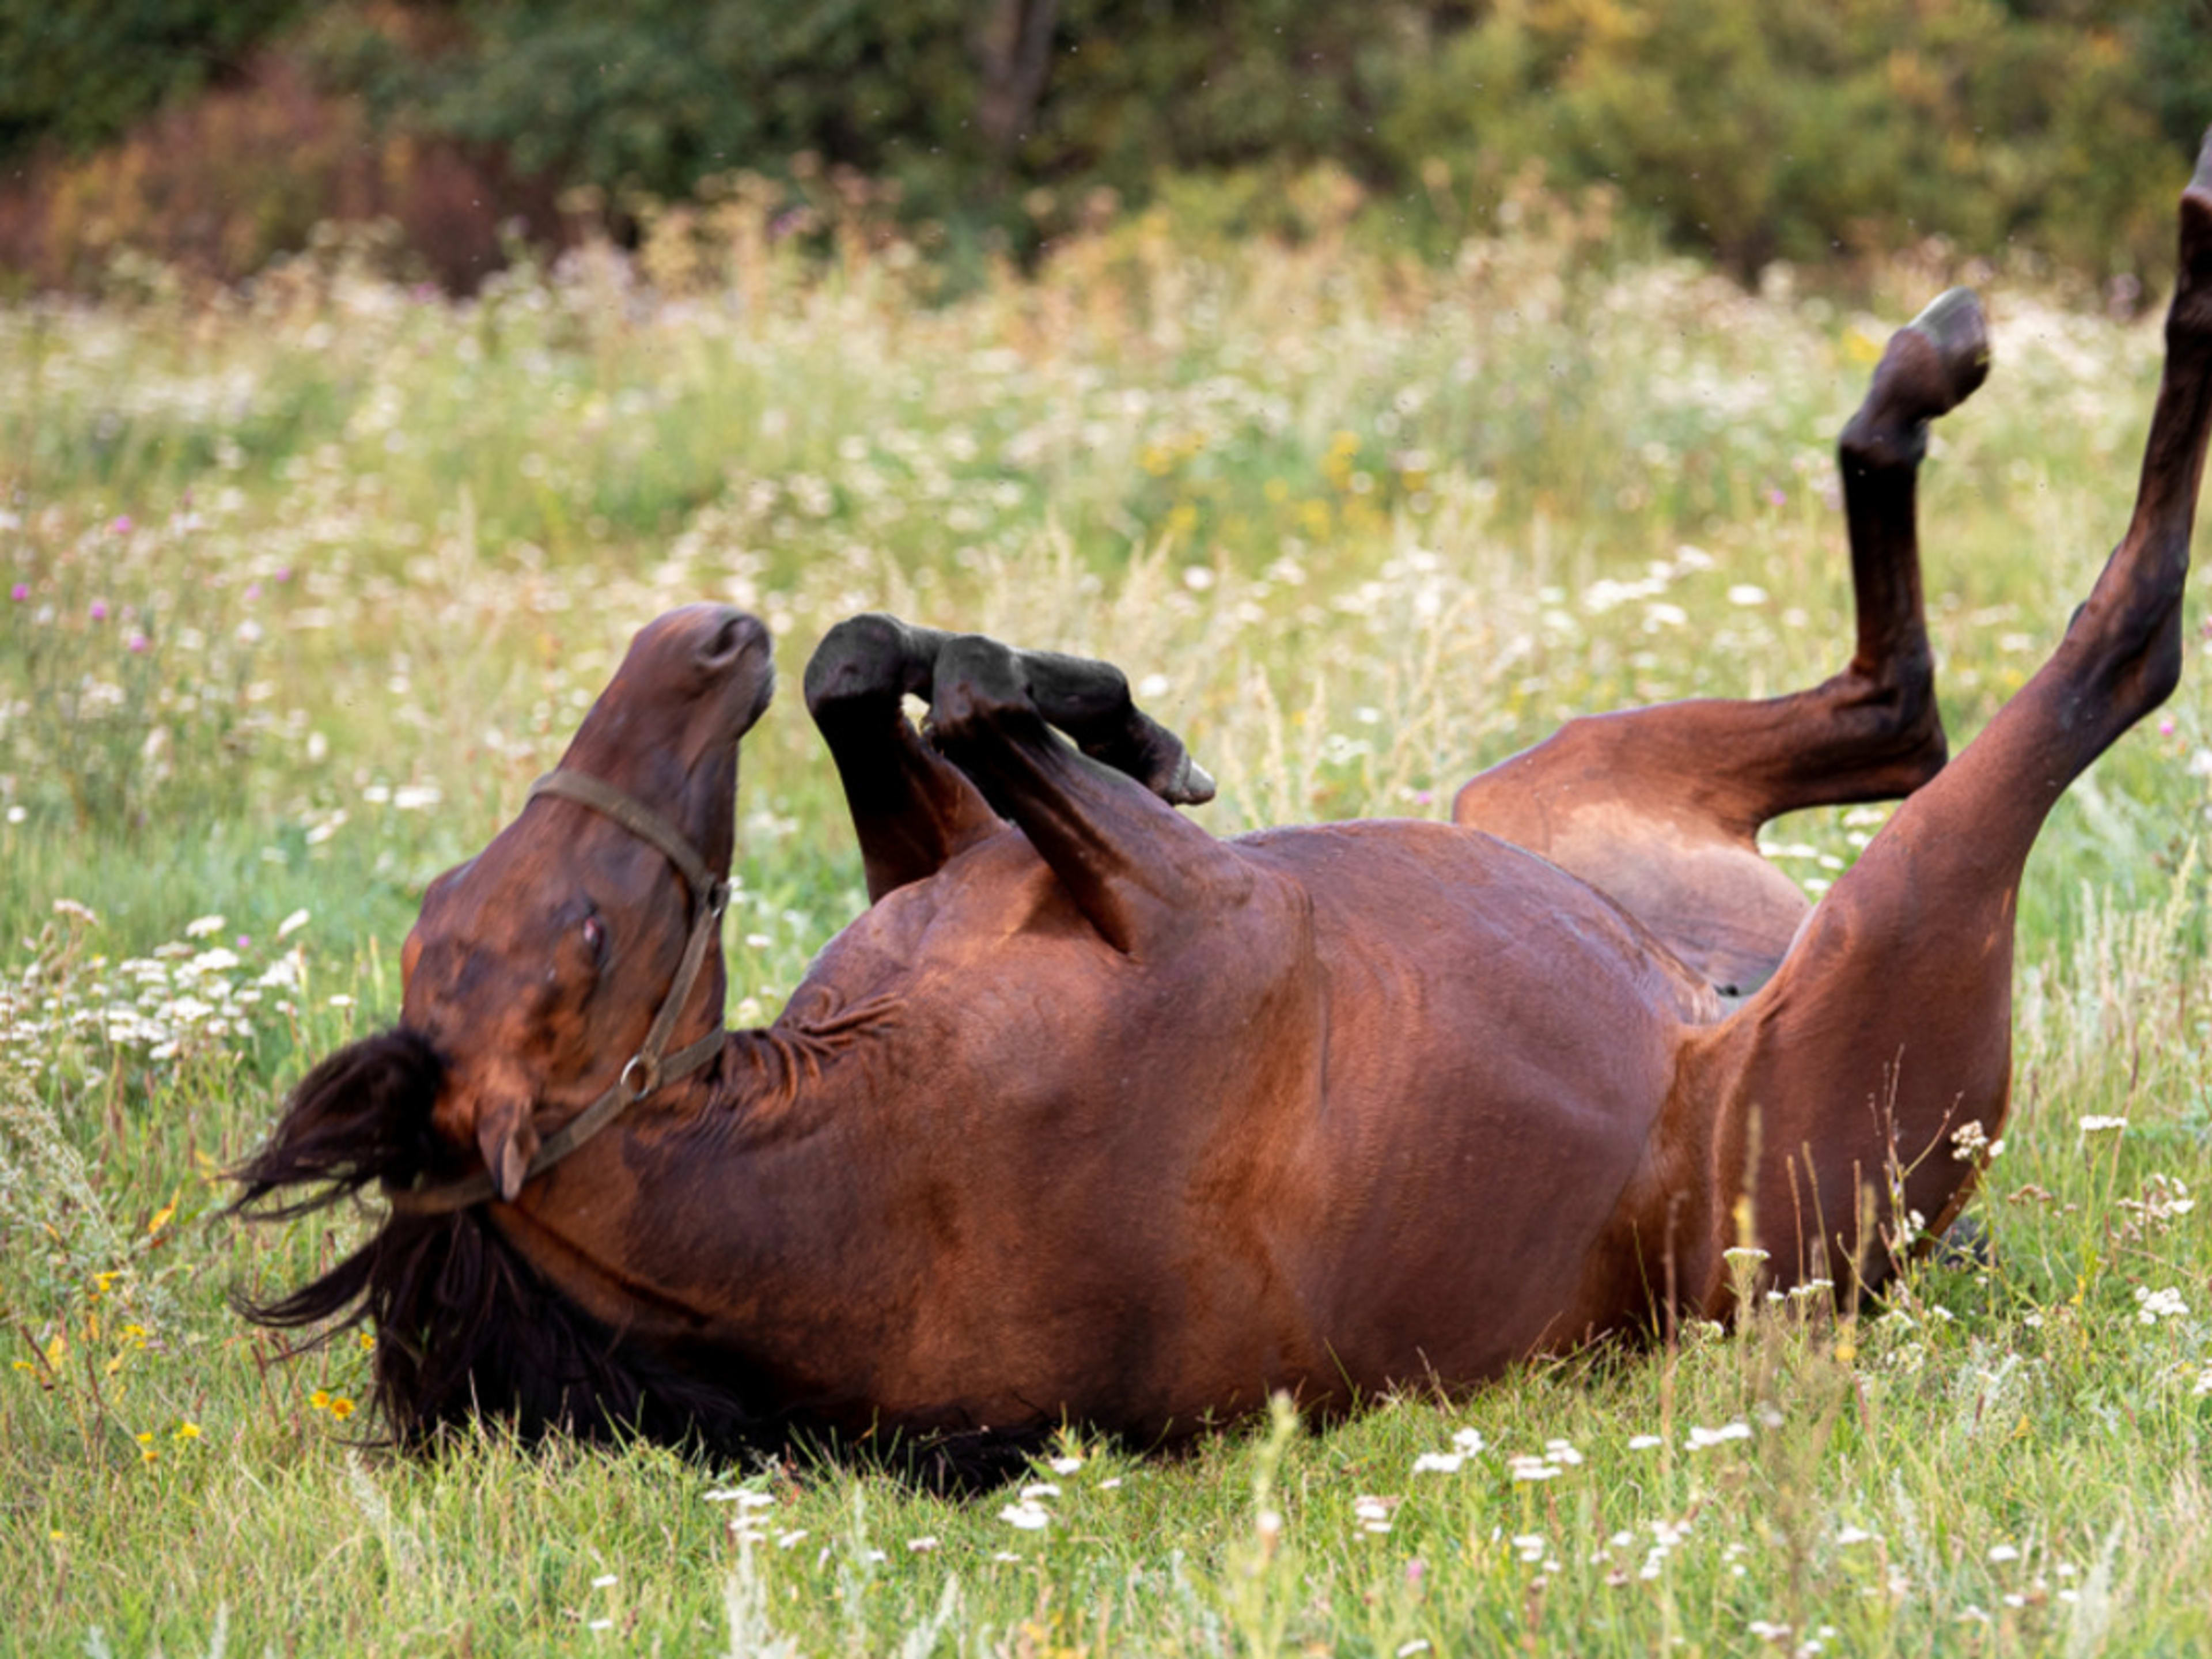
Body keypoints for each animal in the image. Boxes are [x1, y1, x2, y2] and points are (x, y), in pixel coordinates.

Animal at [236, 136, 2212, 1483]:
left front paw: (1111, 706)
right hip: (1881, 966)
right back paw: (2170, 265)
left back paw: (1919, 370)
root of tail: (1717, 995)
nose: (697, 640)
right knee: (2098, 662)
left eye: (482, 887)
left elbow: (892, 676)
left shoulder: (970, 867)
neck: (868, 1150)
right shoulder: (1216, 918)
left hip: (1560, 795)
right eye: (580, 944)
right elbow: (970, 709)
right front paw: (1086, 707)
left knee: (1894, 703)